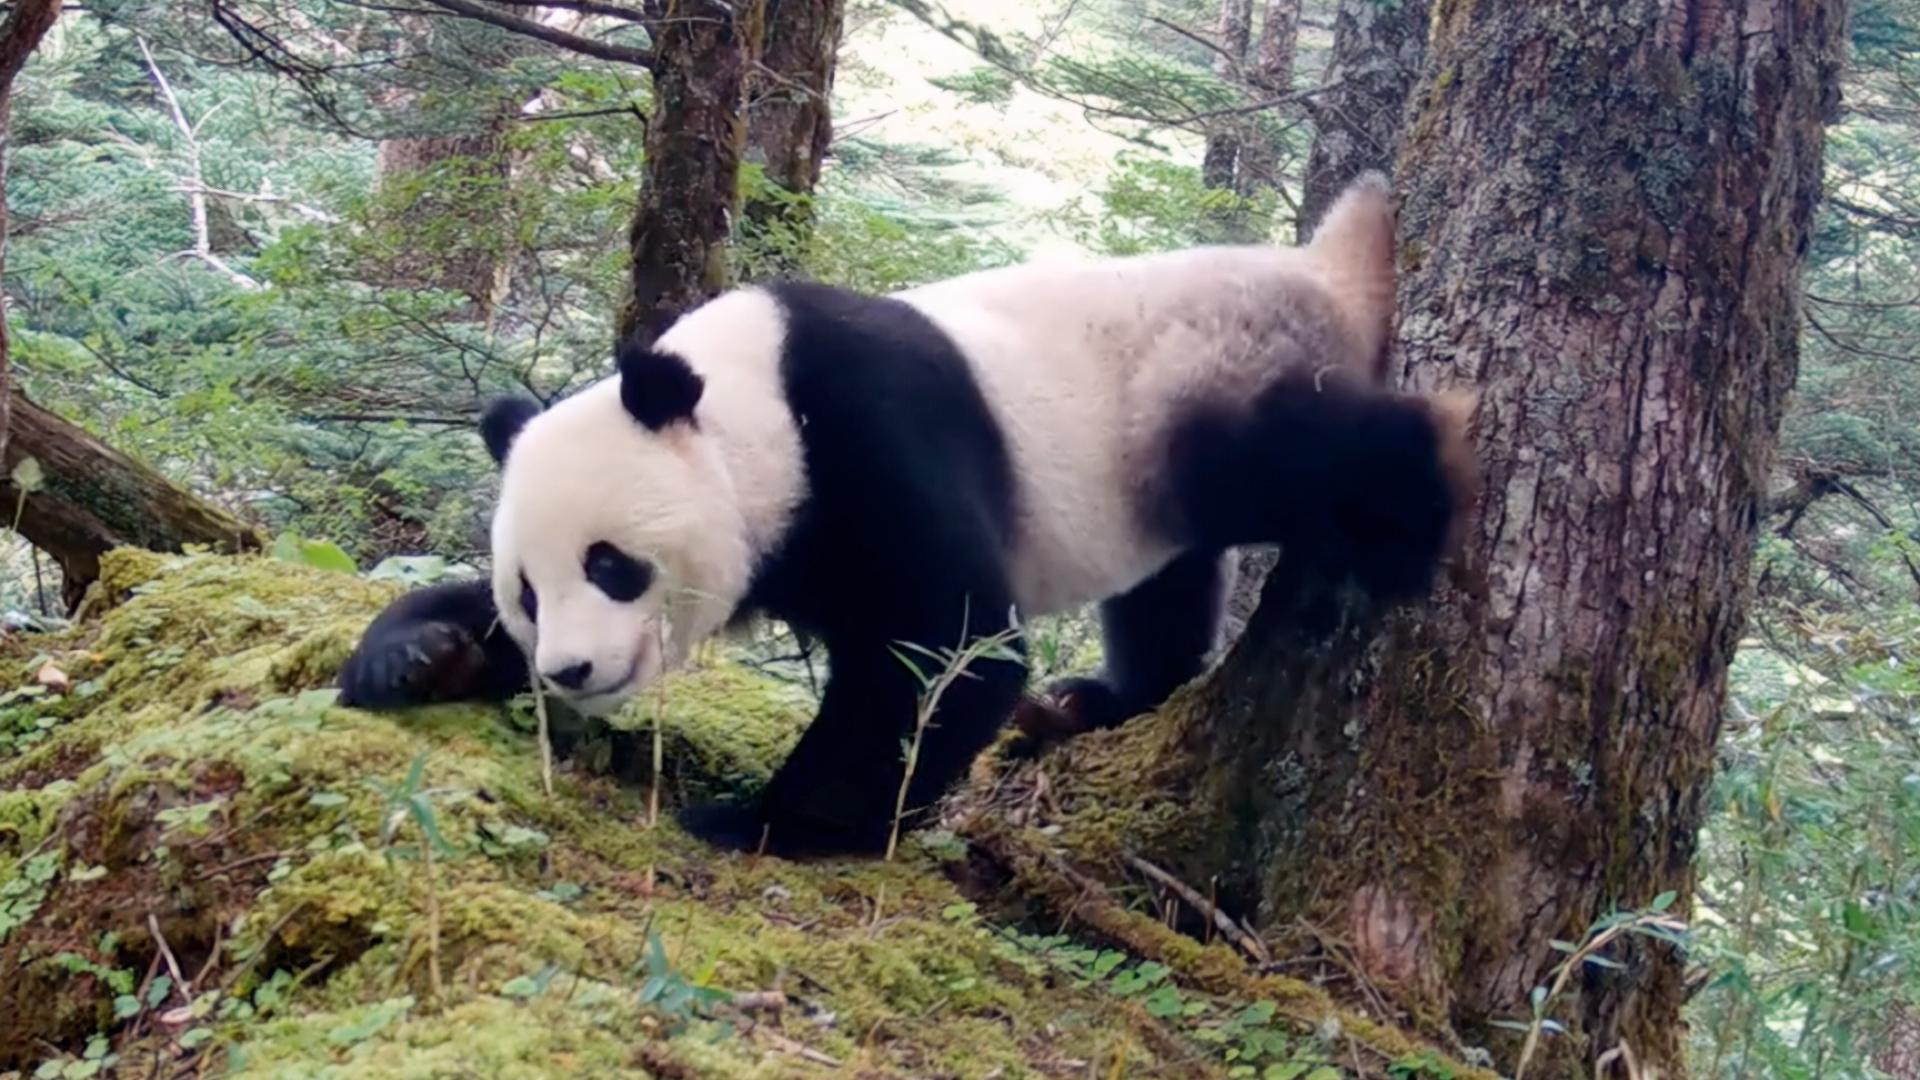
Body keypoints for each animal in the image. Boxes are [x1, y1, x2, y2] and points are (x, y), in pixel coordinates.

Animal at [336, 172, 1476, 857]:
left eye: (613, 564)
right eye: (529, 592)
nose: (572, 670)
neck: (756, 398)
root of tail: (1317, 268)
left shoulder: (866, 436)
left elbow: (951, 648)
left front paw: (769, 820)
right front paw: (416, 655)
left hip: (1208, 377)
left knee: (1310, 456)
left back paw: (1416, 507)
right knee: (1169, 587)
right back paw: (1100, 699)